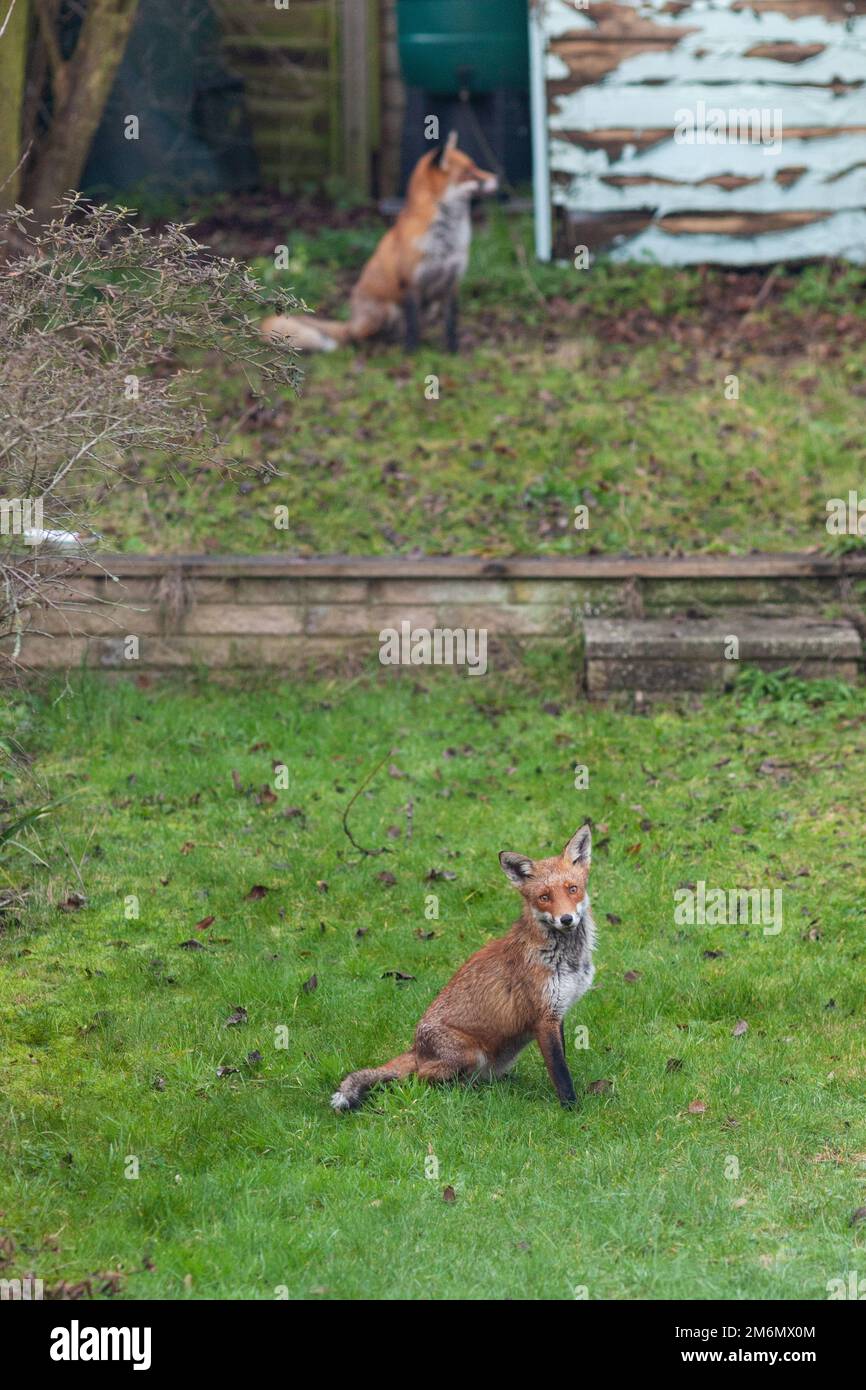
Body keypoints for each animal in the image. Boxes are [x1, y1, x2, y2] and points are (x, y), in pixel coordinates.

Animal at [261, 131, 497, 355]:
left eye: (475, 167)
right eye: (469, 171)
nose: (497, 178)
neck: (446, 240)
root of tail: (352, 321)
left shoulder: (452, 283)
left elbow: (451, 326)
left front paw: (452, 352)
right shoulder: (410, 283)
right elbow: (413, 327)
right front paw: (412, 354)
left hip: (428, 307)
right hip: (387, 310)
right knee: (360, 338)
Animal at [331, 825, 596, 1112]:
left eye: (572, 889)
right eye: (544, 897)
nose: (566, 919)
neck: (567, 958)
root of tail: (416, 1048)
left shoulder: (557, 1012)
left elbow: (560, 1062)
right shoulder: (544, 1017)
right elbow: (560, 1072)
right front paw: (571, 1109)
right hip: (470, 1054)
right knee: (417, 1079)